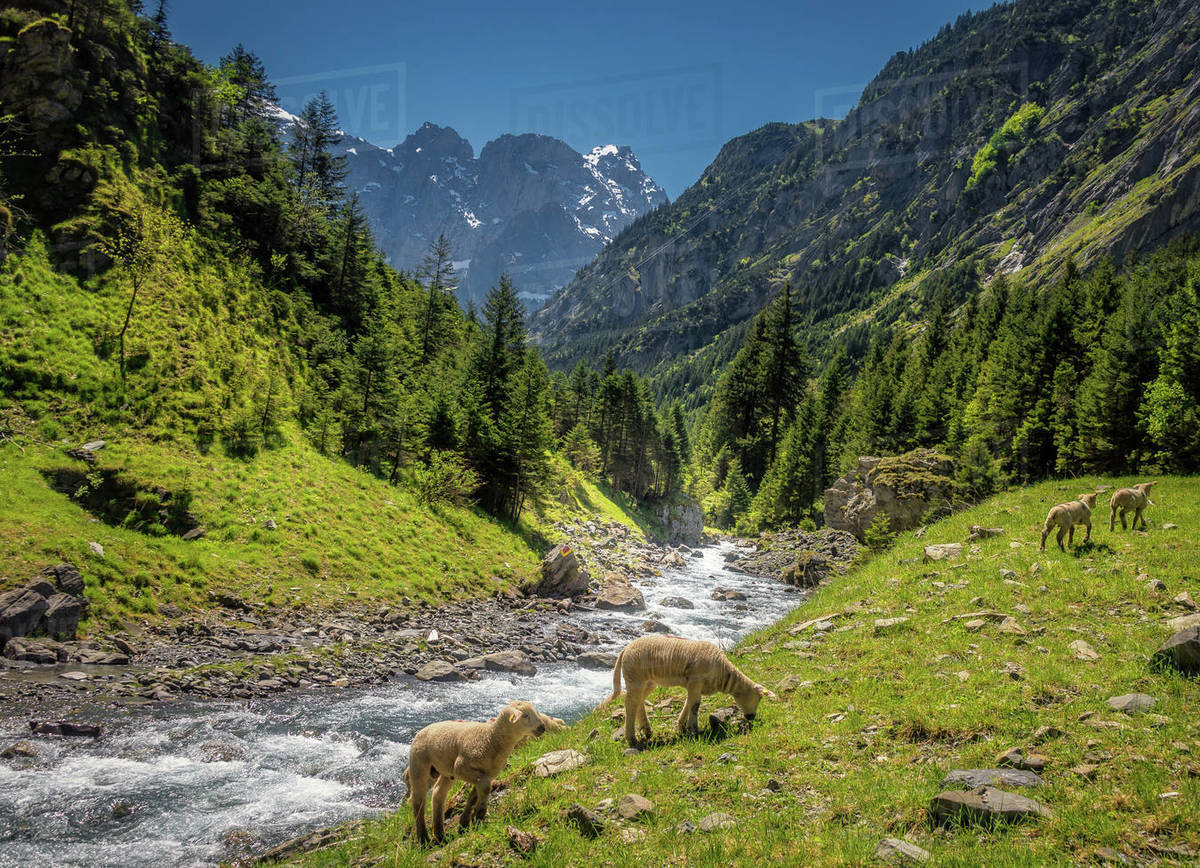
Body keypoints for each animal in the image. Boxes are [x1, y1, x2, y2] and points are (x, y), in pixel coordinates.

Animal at [404, 699, 548, 844]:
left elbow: (475, 794)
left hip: (446, 771)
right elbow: (485, 787)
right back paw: (423, 838)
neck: (490, 740)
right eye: (525, 716)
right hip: (420, 765)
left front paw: (466, 821)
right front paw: (479, 815)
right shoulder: (461, 767)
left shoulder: (487, 773)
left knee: (438, 794)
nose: (542, 727)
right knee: (418, 800)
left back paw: (439, 834)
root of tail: (422, 730)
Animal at [608, 635, 775, 746]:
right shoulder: (696, 680)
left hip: (648, 681)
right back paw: (631, 737)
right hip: (635, 678)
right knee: (630, 704)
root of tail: (625, 649)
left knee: (639, 702)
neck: (723, 674)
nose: (751, 717)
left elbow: (689, 703)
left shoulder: (694, 685)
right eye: (758, 698)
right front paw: (693, 729)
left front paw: (681, 726)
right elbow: (695, 706)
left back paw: (646, 730)